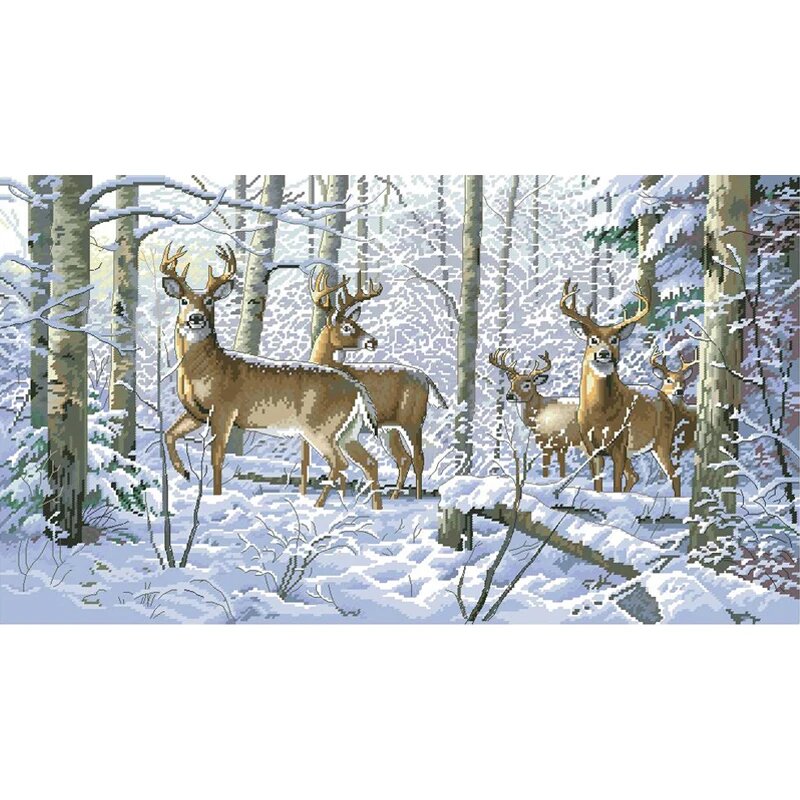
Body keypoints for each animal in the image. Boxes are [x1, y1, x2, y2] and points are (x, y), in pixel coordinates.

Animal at [159, 242, 383, 510]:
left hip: (321, 427)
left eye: (210, 301)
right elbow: (169, 434)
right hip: (348, 430)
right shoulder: (197, 413)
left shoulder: (224, 410)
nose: (195, 318)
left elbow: (217, 458)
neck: (206, 370)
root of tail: (357, 388)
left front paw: (215, 497)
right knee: (369, 462)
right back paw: (374, 509)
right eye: (183, 300)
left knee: (340, 463)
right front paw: (184, 472)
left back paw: (317, 506)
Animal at [300, 268, 448, 500]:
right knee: (403, 459)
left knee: (418, 458)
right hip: (390, 428)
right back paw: (395, 496)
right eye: (347, 326)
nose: (373, 341)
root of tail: (425, 378)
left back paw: (416, 497)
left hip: (413, 420)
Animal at [489, 348, 583, 478]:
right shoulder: (561, 444)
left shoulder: (550, 442)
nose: (510, 396)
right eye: (512, 383)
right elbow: (562, 470)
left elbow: (547, 469)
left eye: (527, 384)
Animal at [560, 279, 680, 496]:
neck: (600, 413)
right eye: (593, 340)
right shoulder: (591, 446)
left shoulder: (620, 442)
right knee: (635, 476)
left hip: (662, 439)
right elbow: (598, 483)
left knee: (674, 476)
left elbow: (615, 484)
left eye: (614, 340)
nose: (604, 353)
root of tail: (664, 398)